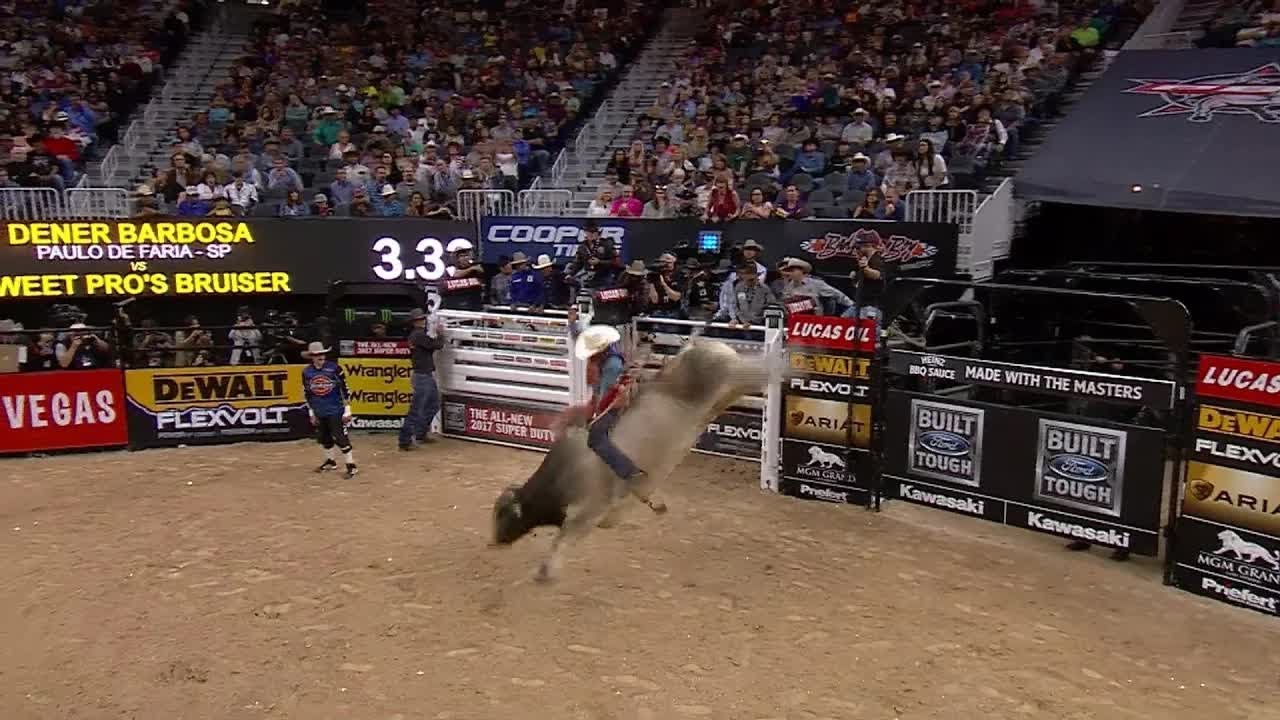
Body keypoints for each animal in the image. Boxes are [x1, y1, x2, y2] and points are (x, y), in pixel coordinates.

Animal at [491, 337, 771, 582]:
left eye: (503, 516)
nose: (494, 541)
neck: (561, 477)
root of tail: (701, 346)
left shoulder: (588, 512)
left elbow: (561, 540)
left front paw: (544, 572)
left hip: (735, 374)